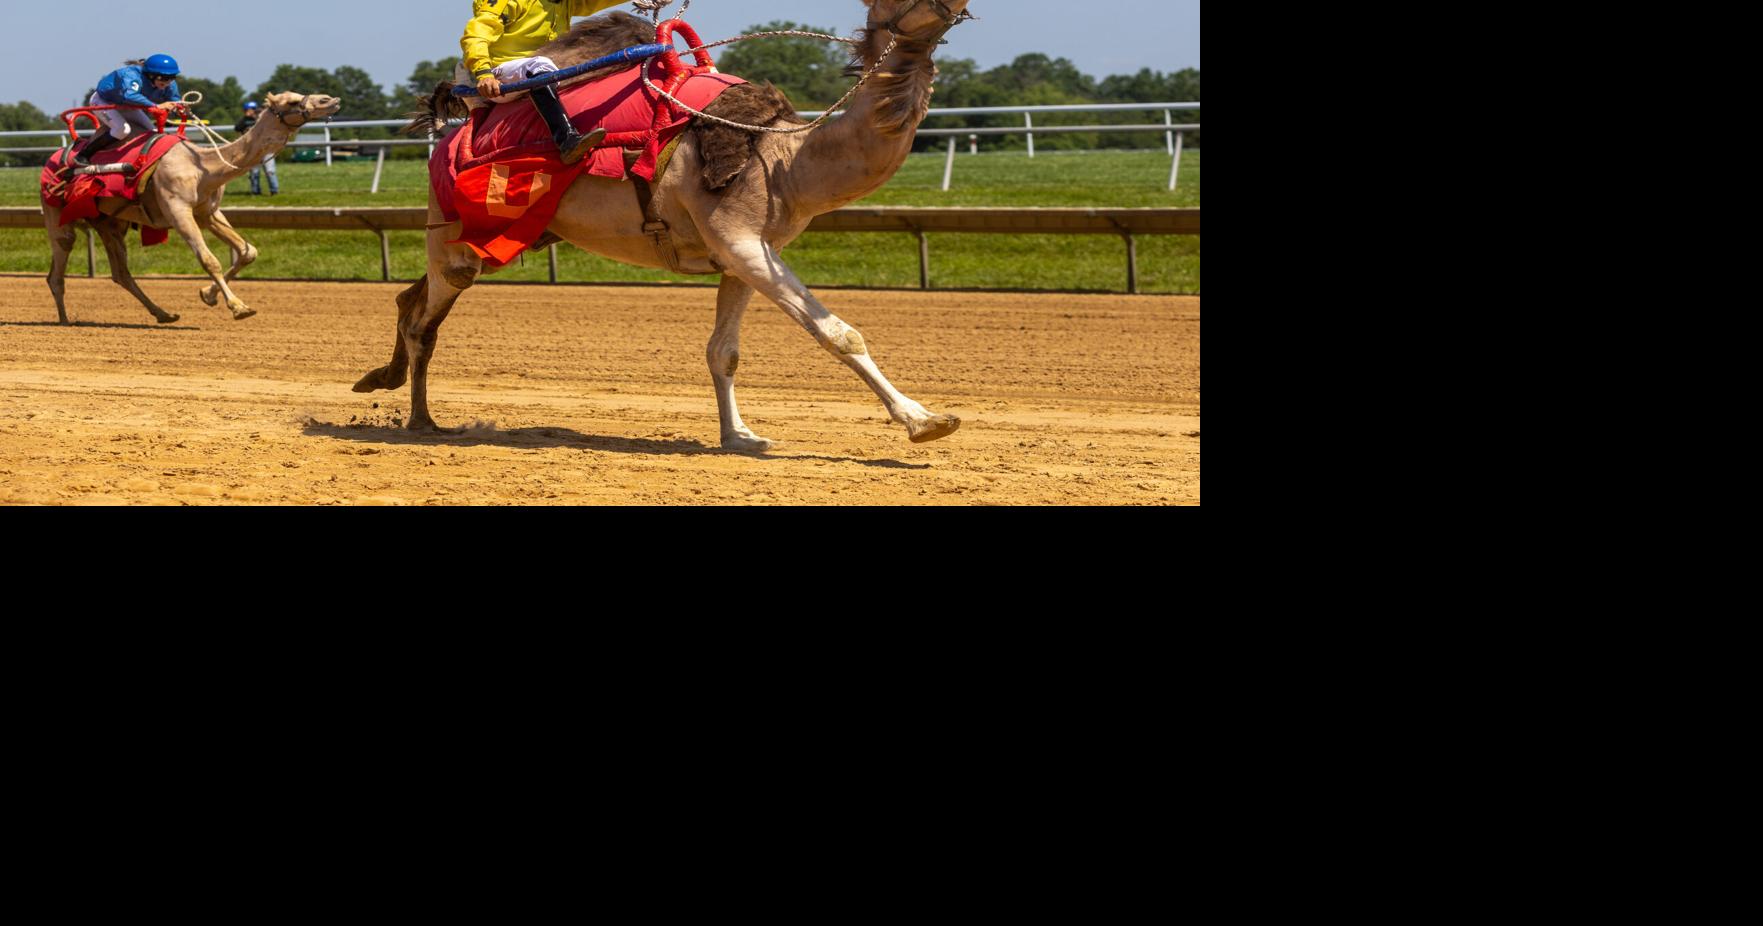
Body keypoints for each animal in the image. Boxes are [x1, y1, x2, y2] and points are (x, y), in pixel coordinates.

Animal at [43, 91, 344, 325]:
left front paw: (207, 295)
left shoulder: (207, 212)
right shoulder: (178, 211)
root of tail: (55, 156)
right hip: (57, 214)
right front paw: (238, 307)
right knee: (58, 267)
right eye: (291, 101)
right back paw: (65, 320)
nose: (331, 100)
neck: (204, 169)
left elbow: (247, 252)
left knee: (120, 273)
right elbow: (209, 259)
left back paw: (164, 314)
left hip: (109, 223)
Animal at [355, 0, 971, 450]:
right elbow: (838, 332)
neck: (784, 158)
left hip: (505, 231)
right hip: (455, 232)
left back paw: (390, 388)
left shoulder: (743, 253)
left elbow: (723, 351)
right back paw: (420, 422)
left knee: (413, 302)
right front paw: (924, 420)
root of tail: (451, 133)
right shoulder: (740, 239)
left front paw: (740, 436)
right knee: (426, 315)